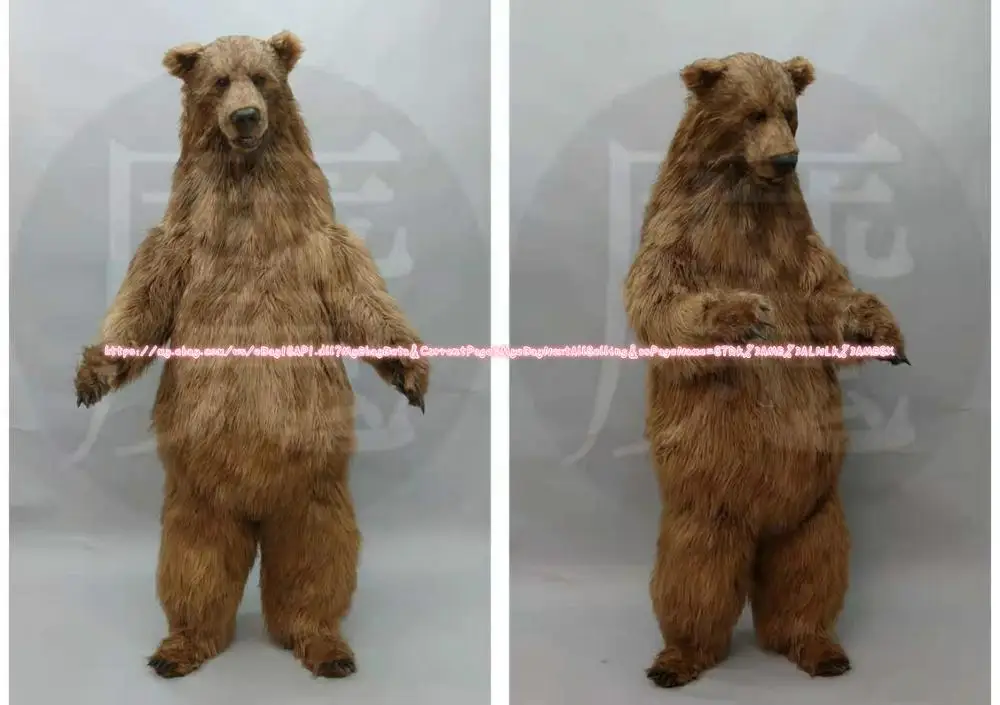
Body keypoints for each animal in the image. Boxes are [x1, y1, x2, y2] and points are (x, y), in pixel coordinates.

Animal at [73, 31, 429, 679]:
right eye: (219, 81)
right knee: (195, 553)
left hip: (314, 474)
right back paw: (181, 646)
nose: (245, 117)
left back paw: (325, 646)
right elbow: (141, 305)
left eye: (262, 78)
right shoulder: (177, 246)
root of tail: (257, 498)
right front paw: (94, 374)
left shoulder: (322, 244)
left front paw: (410, 373)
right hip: (198, 476)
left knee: (318, 552)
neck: (248, 210)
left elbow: (364, 301)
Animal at [623, 52, 908, 688]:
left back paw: (820, 648)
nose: (786, 160)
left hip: (816, 501)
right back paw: (678, 658)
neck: (746, 198)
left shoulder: (798, 245)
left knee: (812, 566)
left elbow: (828, 295)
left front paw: (882, 331)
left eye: (790, 113)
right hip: (709, 483)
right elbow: (659, 301)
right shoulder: (677, 230)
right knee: (695, 569)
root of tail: (761, 522)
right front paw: (745, 313)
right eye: (752, 113)